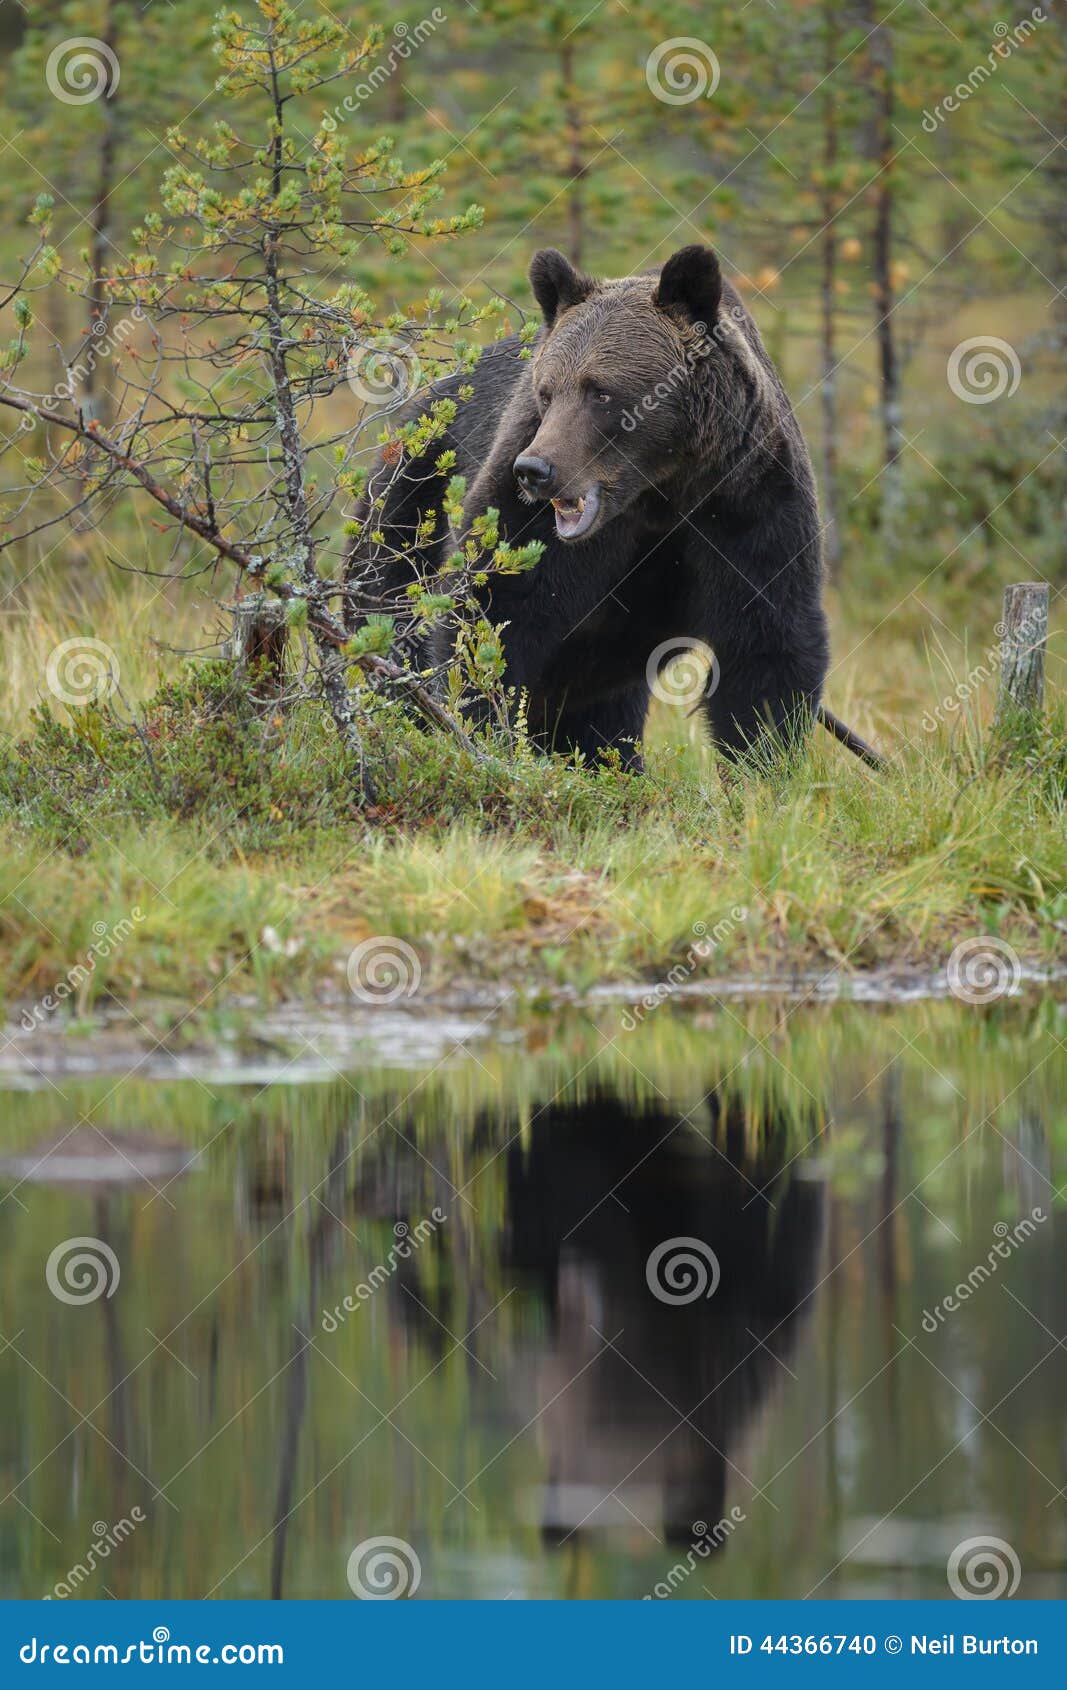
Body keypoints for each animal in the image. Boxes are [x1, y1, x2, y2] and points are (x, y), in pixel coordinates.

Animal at [345, 244, 831, 772]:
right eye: (546, 391)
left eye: (601, 391)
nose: (535, 470)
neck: (658, 493)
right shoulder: (528, 519)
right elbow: (492, 612)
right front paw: (484, 730)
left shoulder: (746, 502)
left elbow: (764, 640)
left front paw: (764, 763)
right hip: (413, 491)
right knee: (390, 593)